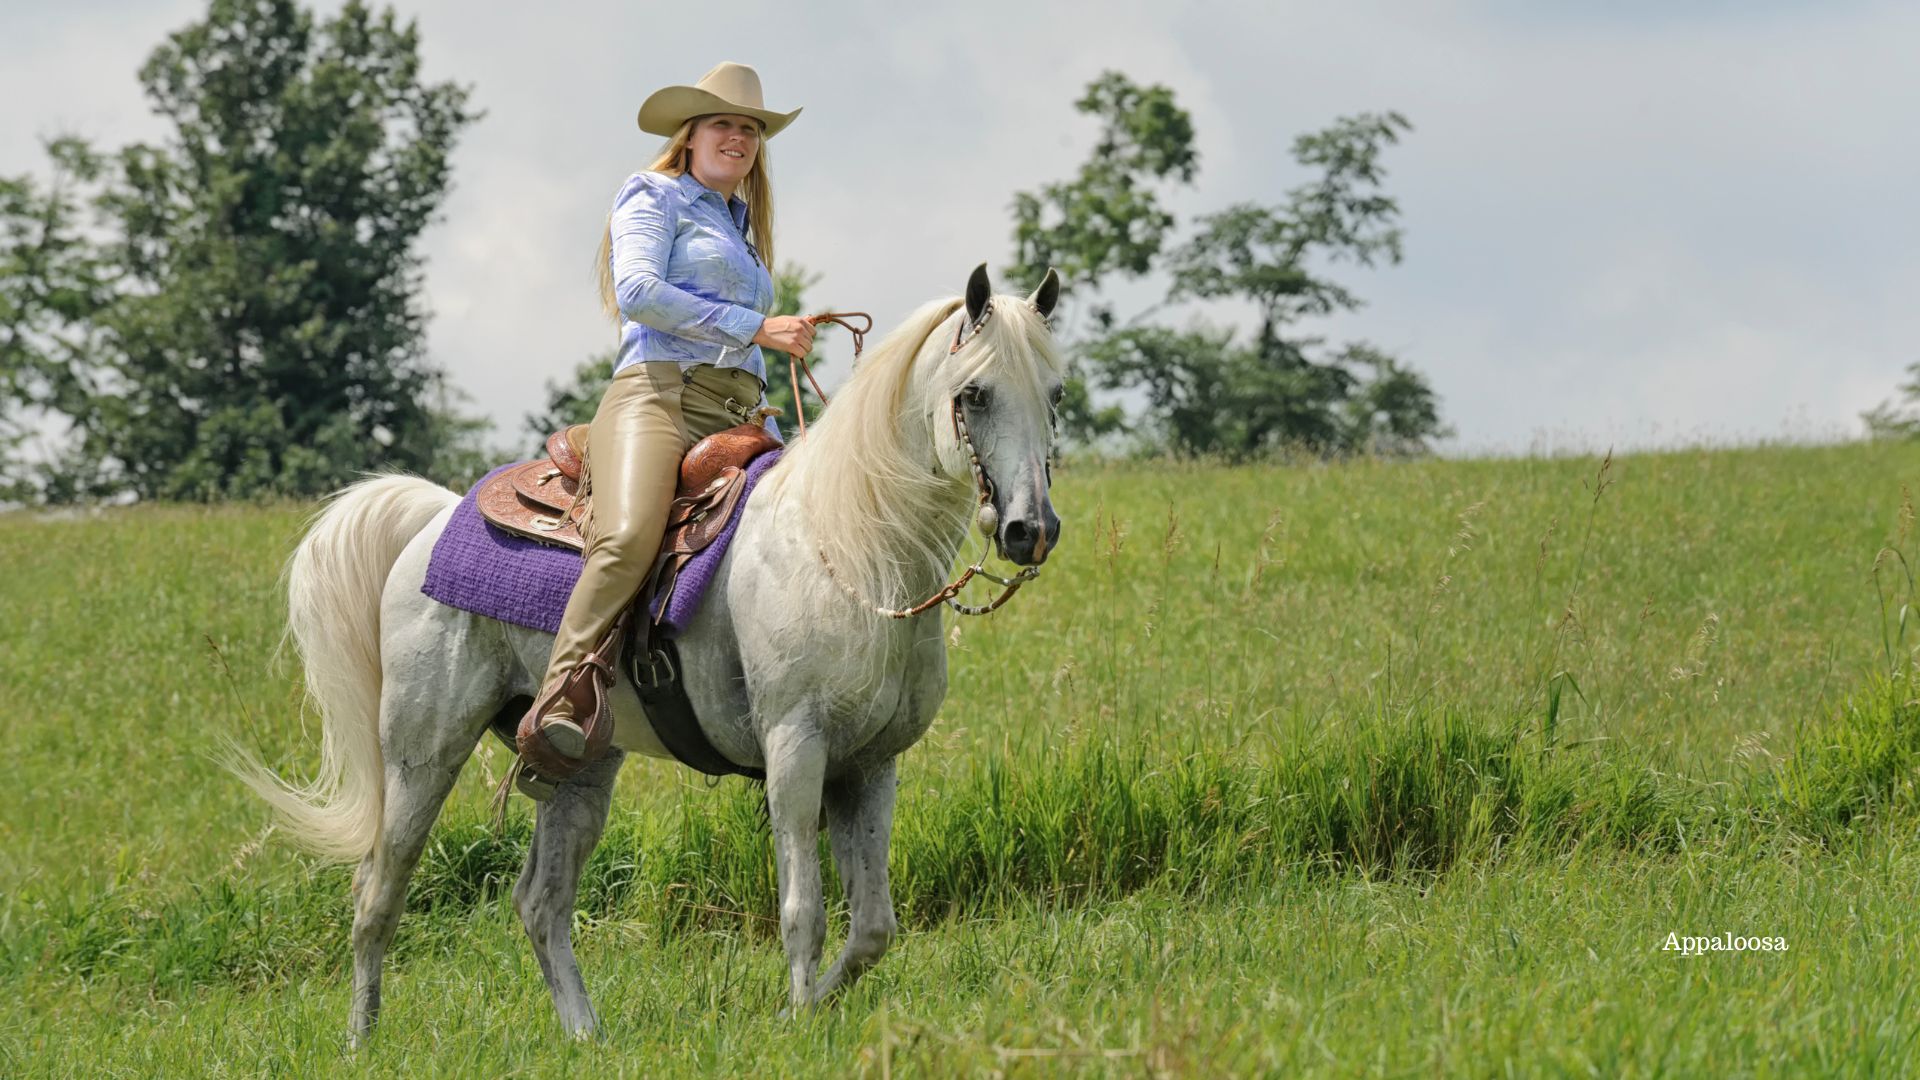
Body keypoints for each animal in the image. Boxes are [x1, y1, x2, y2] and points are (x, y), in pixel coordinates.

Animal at [229, 264, 1066, 1042]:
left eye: (1054, 393)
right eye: (975, 393)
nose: (1031, 530)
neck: (849, 545)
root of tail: (435, 520)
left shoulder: (871, 765)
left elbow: (873, 928)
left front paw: (806, 1008)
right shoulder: (796, 749)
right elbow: (805, 910)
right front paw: (795, 1019)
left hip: (579, 765)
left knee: (540, 902)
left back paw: (585, 1035)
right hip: (422, 750)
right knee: (379, 891)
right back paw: (361, 1040)